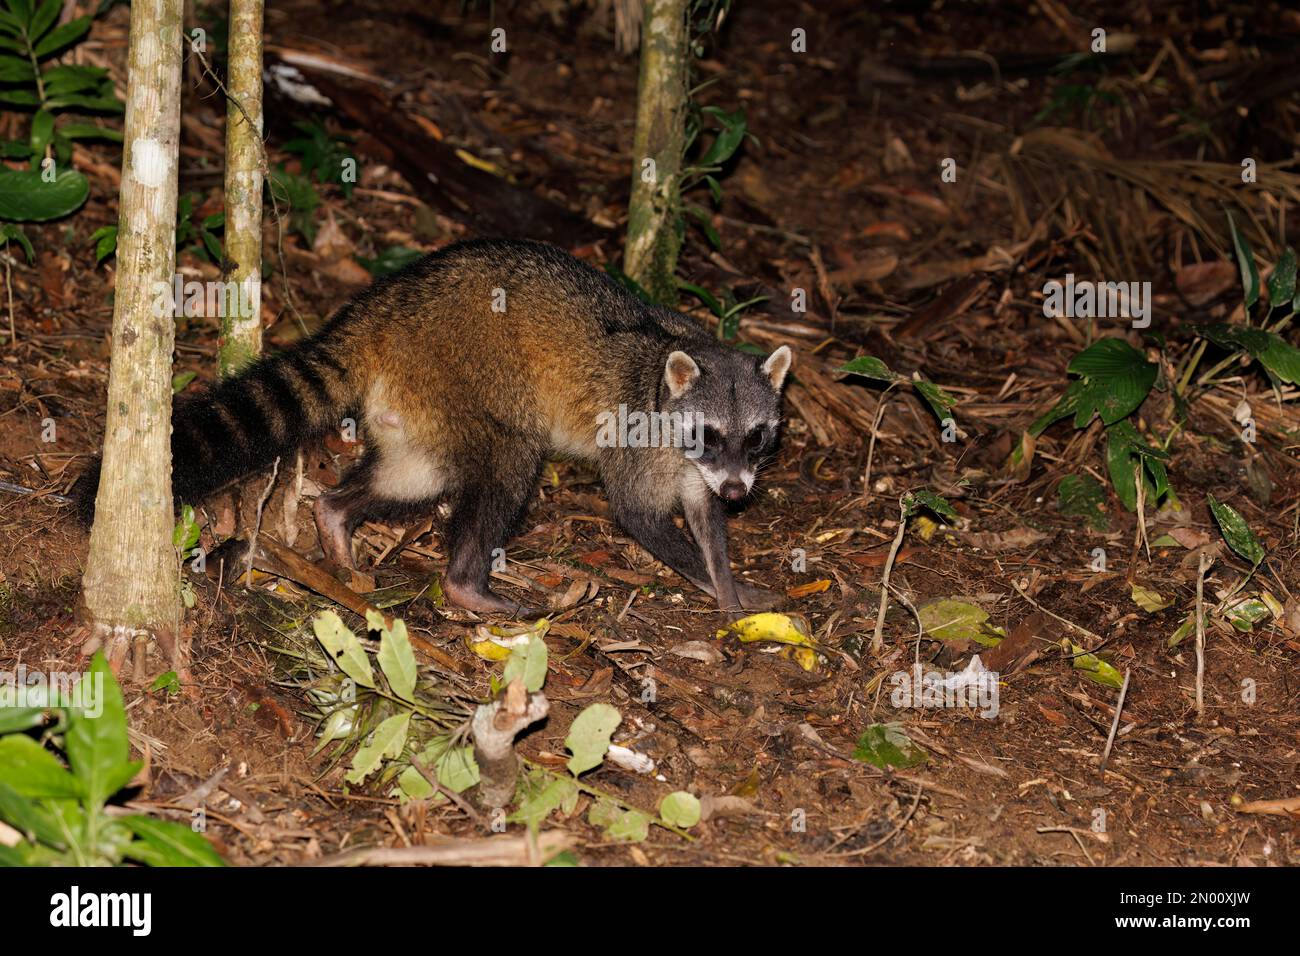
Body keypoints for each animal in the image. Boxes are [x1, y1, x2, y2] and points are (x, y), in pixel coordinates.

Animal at [72, 239, 792, 615]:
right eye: (707, 434)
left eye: (756, 437)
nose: (739, 491)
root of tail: (379, 310)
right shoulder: (641, 441)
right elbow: (640, 518)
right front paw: (717, 589)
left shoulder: (701, 473)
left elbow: (704, 518)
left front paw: (727, 575)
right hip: (458, 367)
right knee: (508, 461)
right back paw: (467, 584)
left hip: (416, 404)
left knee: (414, 474)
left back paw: (336, 517)